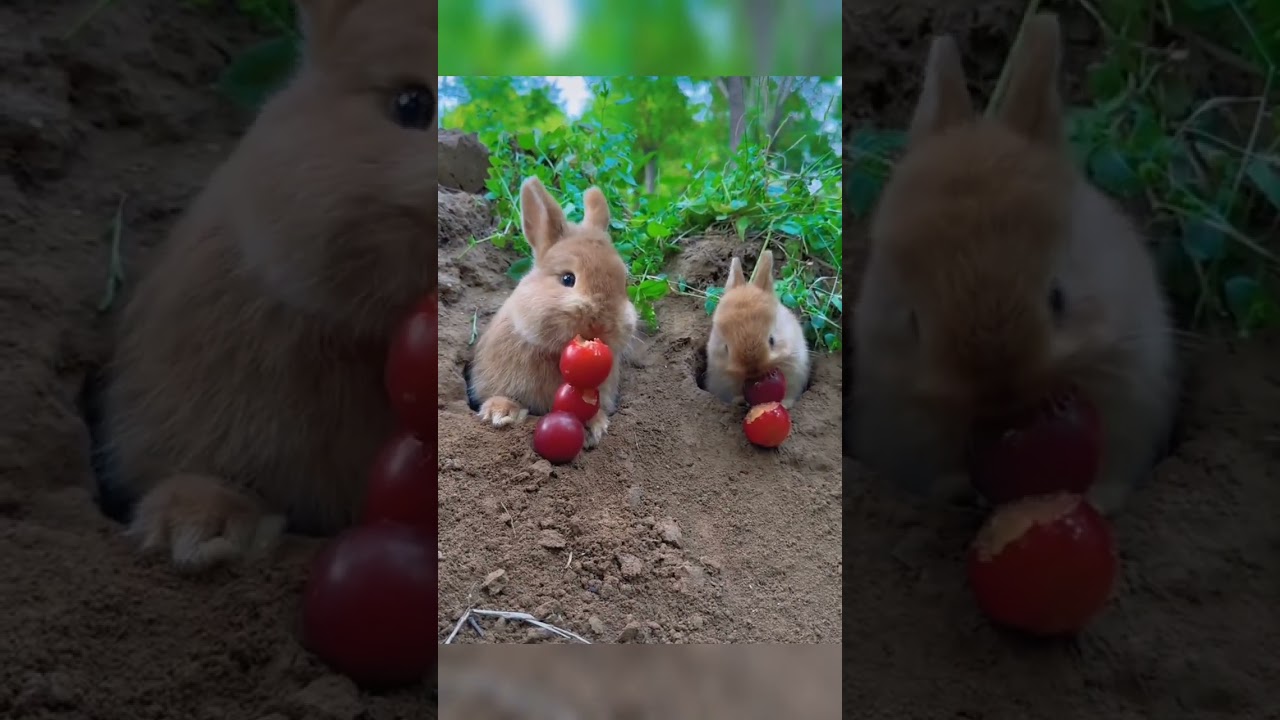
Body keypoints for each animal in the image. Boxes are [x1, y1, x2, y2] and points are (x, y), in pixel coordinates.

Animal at [468, 177, 638, 448]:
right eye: (568, 279)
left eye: (623, 285)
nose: (602, 324)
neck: (555, 354)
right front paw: (500, 413)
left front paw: (595, 426)